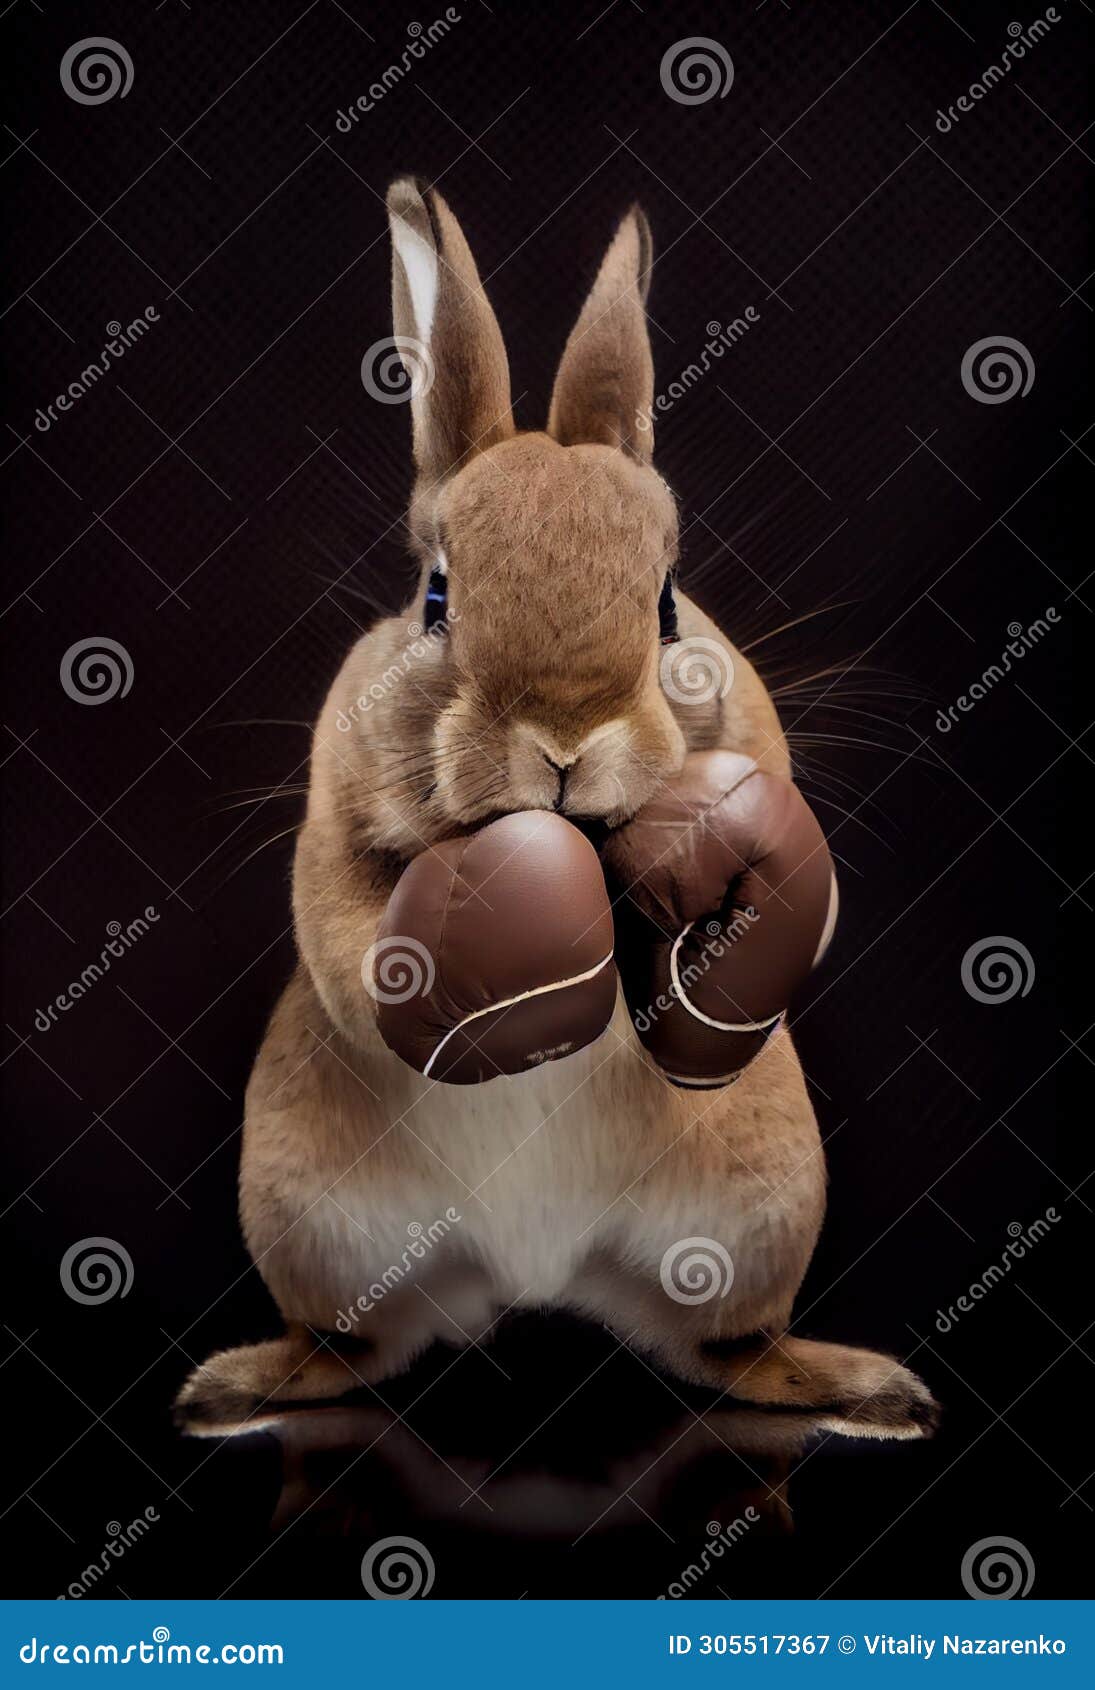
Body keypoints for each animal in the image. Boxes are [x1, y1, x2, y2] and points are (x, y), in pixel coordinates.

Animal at [176, 179, 938, 1446]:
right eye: (437, 598)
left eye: (668, 603)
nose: (566, 743)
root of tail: (535, 1280)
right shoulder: (329, 839)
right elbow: (347, 943)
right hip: (316, 1225)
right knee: (353, 1346)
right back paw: (242, 1390)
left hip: (755, 1219)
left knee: (730, 1349)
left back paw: (860, 1390)